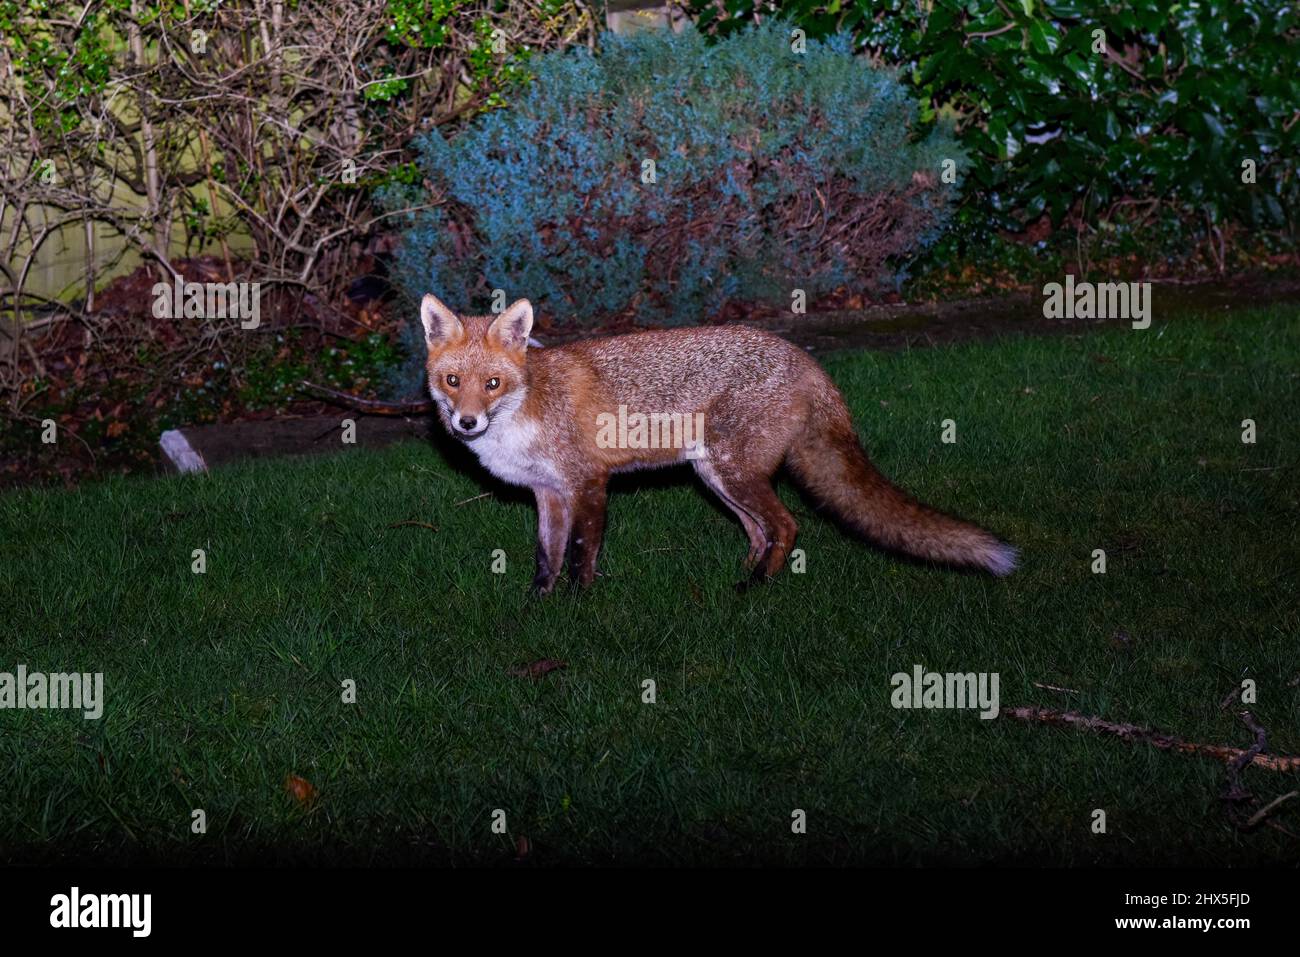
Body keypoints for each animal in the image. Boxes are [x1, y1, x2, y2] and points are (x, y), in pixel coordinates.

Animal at [420, 293, 1017, 594]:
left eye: (492, 384)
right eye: (452, 381)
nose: (467, 424)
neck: (528, 409)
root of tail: (807, 361)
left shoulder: (588, 482)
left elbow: (583, 555)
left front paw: (580, 606)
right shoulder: (548, 494)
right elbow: (547, 556)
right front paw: (539, 608)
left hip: (733, 471)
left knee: (787, 526)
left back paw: (756, 590)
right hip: (717, 475)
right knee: (759, 530)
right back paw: (742, 577)